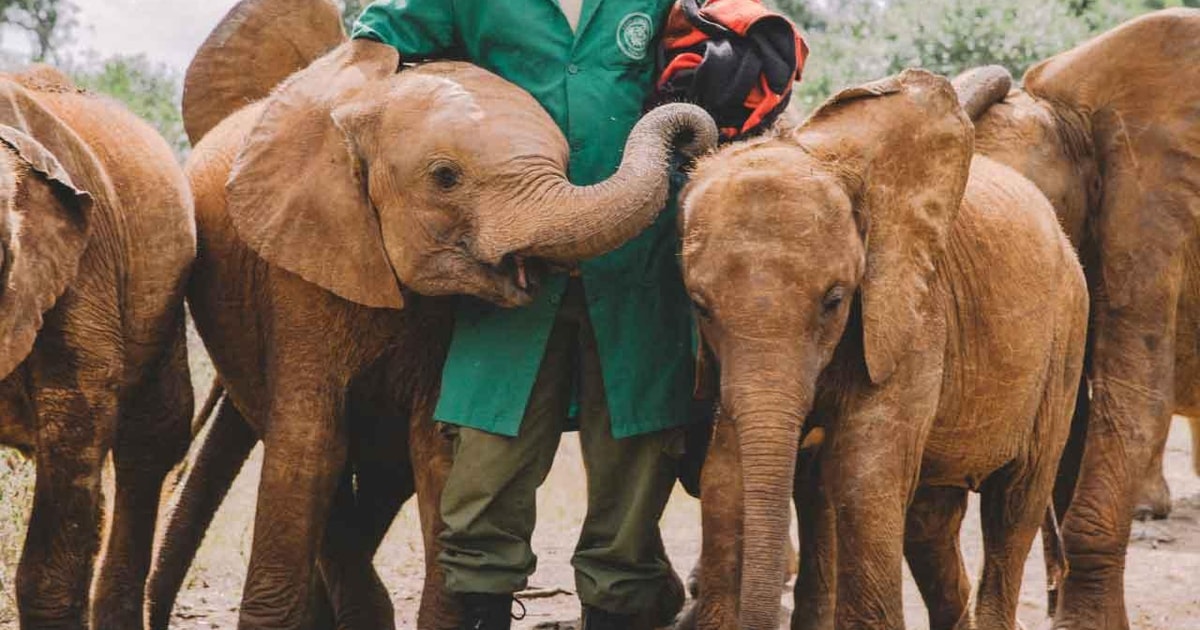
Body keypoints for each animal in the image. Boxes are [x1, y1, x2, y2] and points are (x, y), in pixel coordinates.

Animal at [677, 69, 1088, 630]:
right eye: (700, 308)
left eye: (835, 300)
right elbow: (725, 473)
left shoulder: (911, 312)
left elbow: (862, 476)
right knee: (929, 523)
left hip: (1066, 334)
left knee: (1015, 501)